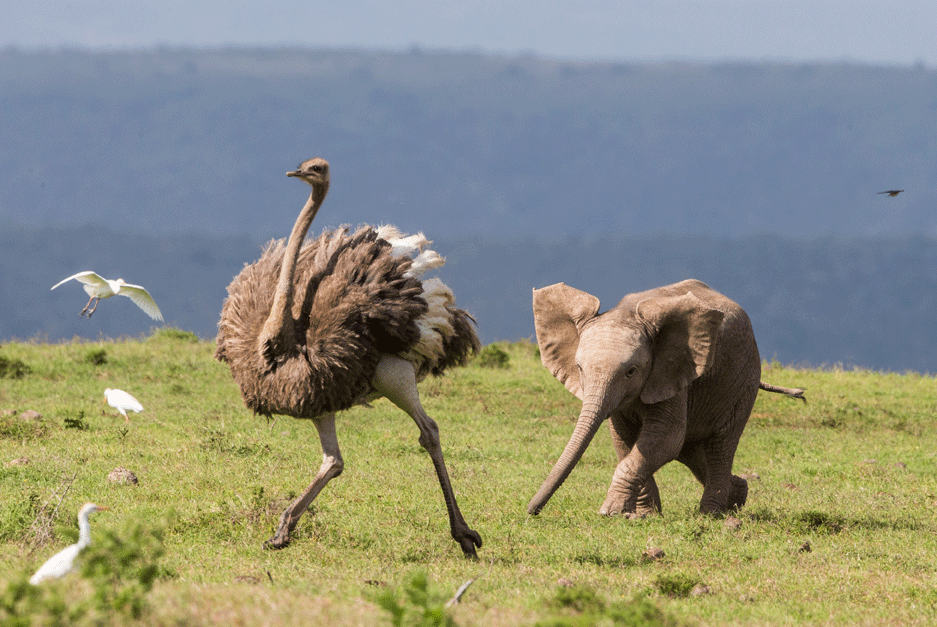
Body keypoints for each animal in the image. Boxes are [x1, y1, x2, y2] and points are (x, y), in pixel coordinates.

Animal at [528, 279, 804, 519]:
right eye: (579, 368)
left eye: (631, 371)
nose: (531, 511)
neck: (626, 314)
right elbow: (626, 442)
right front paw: (644, 516)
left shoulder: (673, 372)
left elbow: (665, 438)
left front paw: (610, 512)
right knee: (690, 451)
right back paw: (737, 497)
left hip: (742, 379)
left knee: (719, 445)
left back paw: (712, 513)